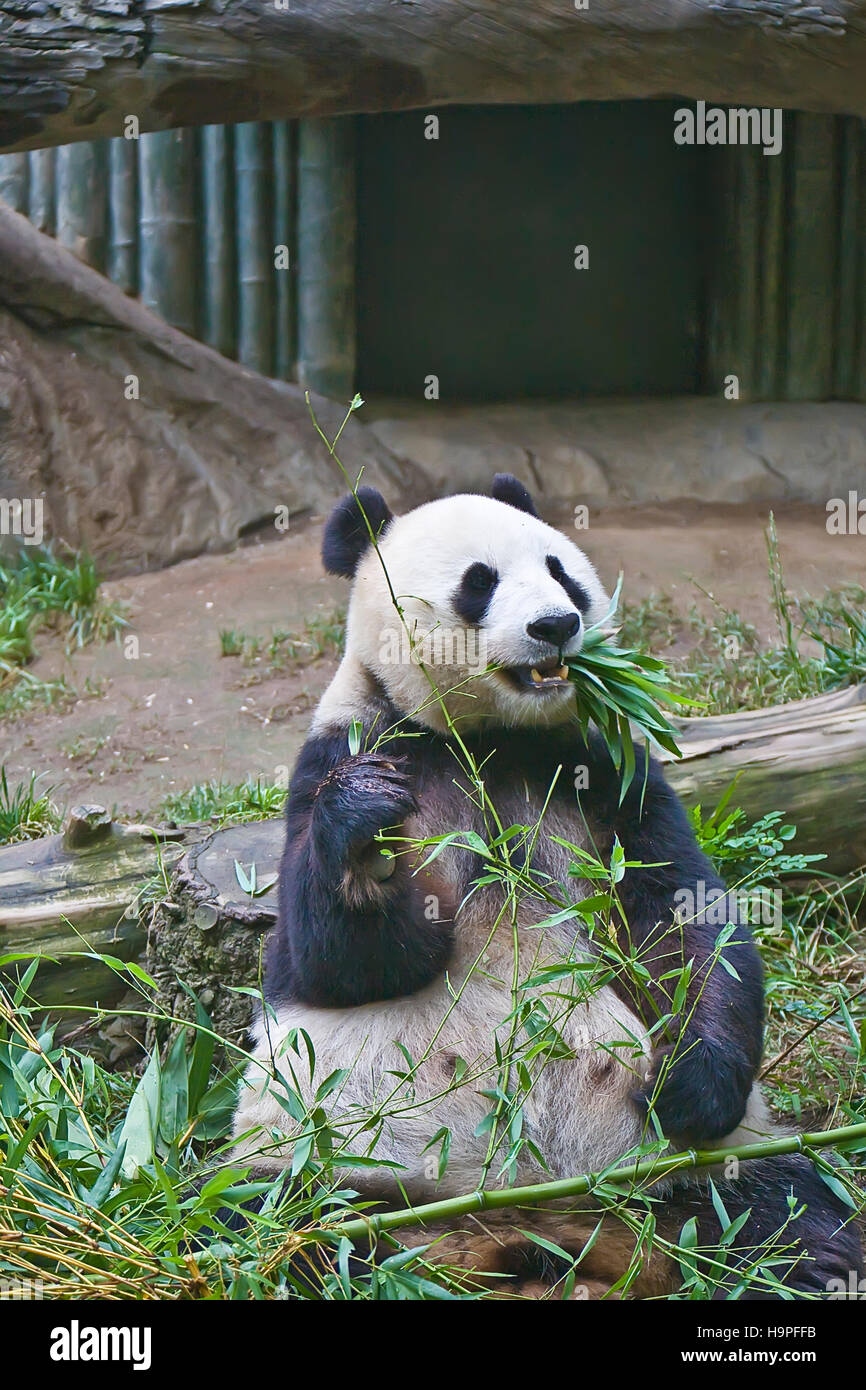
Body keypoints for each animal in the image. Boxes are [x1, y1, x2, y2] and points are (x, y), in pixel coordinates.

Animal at [233, 474, 863, 1299]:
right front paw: (367, 825)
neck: (494, 738)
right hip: (327, 1163)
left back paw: (817, 1263)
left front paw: (688, 1087)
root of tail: (534, 1229)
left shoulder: (605, 766)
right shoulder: (352, 746)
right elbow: (337, 961)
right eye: (479, 583)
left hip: (701, 1172)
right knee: (269, 1229)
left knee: (783, 1209)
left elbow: (682, 918)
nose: (557, 625)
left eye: (560, 570)